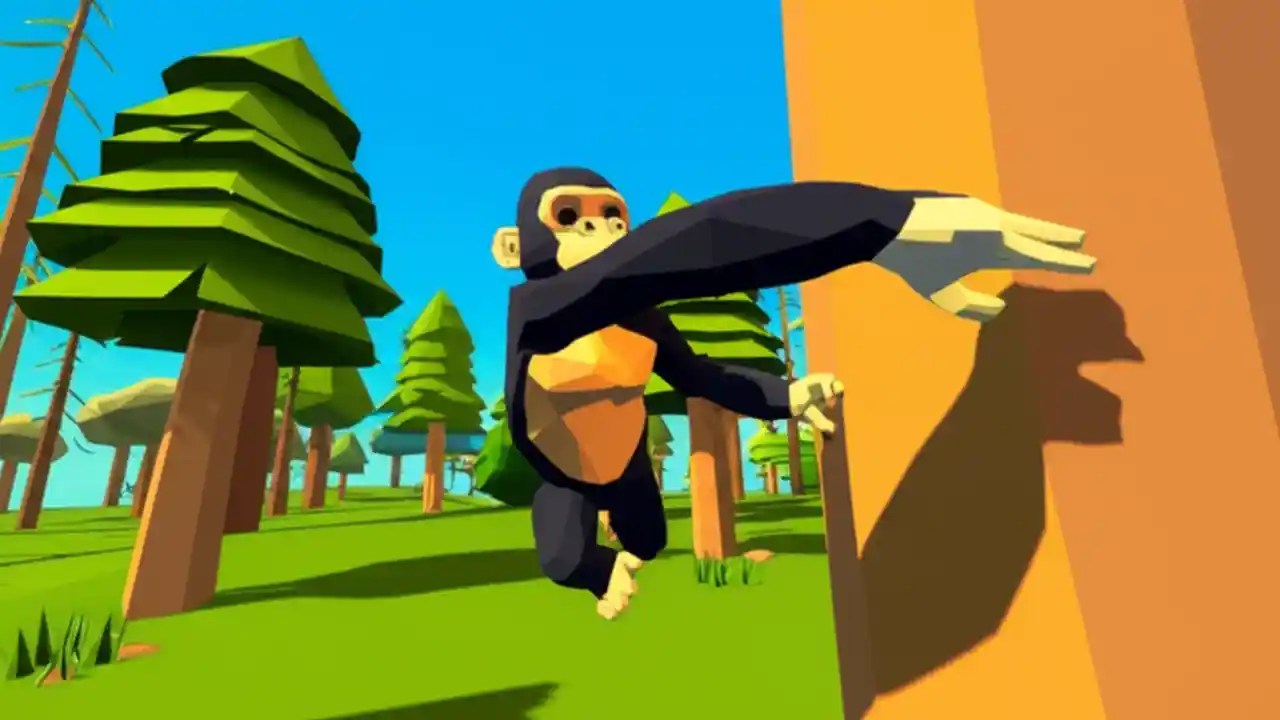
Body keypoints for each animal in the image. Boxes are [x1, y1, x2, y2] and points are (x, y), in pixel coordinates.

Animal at [492, 167, 1095, 620]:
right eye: (568, 216)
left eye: (614, 215)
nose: (598, 228)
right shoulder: (558, 298)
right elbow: (684, 244)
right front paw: (927, 229)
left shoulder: (650, 318)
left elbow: (697, 371)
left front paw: (804, 396)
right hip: (566, 485)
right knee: (564, 551)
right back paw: (611, 577)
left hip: (635, 484)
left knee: (646, 531)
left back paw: (627, 559)